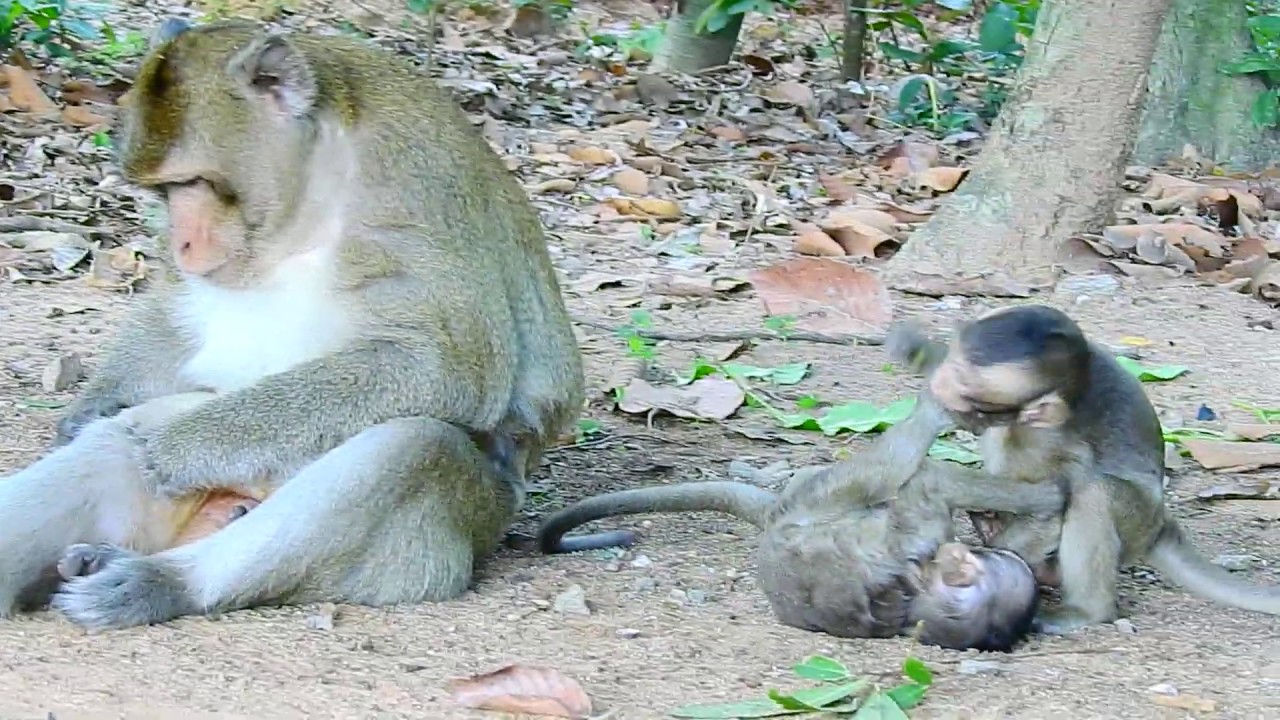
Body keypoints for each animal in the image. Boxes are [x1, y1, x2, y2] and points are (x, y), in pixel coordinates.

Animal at [0, 17, 585, 629]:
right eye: (164, 192)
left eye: (192, 183)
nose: (181, 241)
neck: (309, 202)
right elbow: (174, 315)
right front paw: (94, 405)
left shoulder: (414, 195)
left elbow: (446, 370)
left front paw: (175, 447)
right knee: (112, 443)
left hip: (464, 519)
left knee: (413, 447)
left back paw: (159, 582)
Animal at [537, 389, 1066, 652]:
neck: (916, 602)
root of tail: (777, 514)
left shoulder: (920, 527)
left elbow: (925, 484)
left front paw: (1045, 503)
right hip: (820, 493)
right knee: (894, 469)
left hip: (821, 495)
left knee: (891, 468)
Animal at [886, 304, 1280, 633]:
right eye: (955, 365)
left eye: (970, 393)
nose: (943, 385)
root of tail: (1159, 525)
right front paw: (918, 349)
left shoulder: (1046, 434)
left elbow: (1060, 493)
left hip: (1136, 519)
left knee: (1095, 493)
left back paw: (1086, 609)